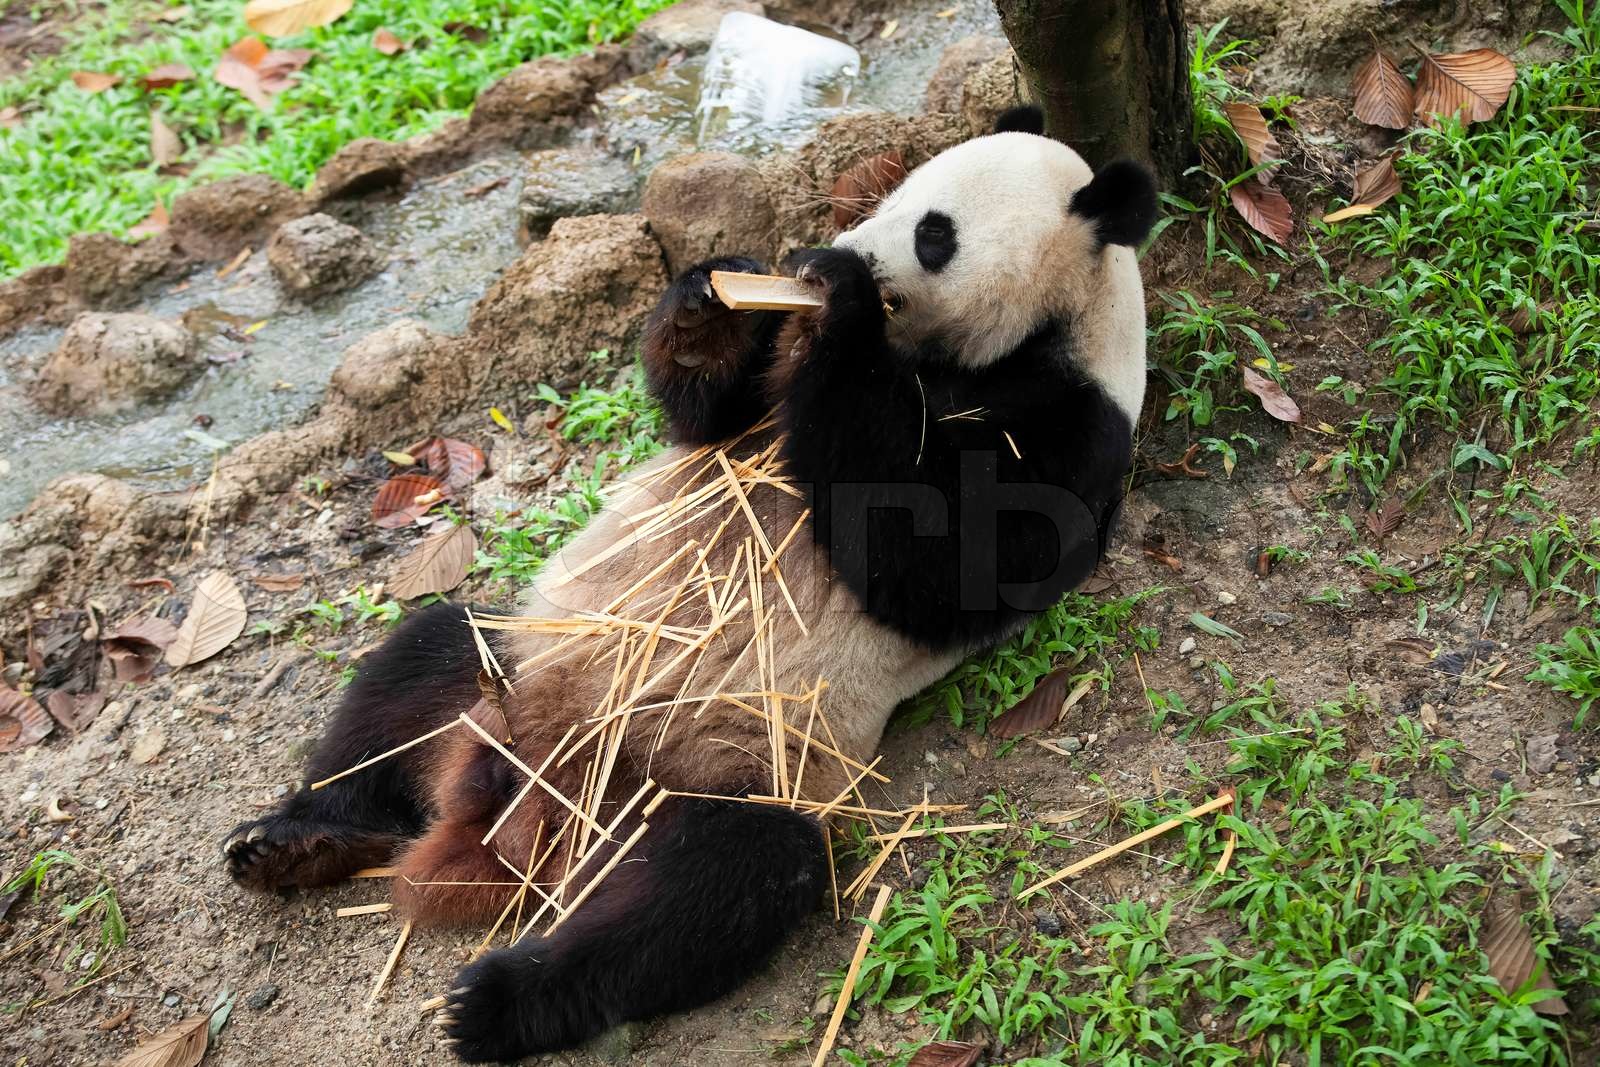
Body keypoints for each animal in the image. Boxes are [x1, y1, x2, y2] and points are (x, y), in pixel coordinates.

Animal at [221, 105, 1155, 1063]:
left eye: (936, 234)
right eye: (891, 194)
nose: (838, 250)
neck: (1043, 331)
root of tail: (511, 808)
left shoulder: (1073, 430)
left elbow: (933, 561)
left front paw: (841, 301)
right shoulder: (770, 402)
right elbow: (708, 416)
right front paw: (714, 290)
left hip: (718, 770)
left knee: (712, 885)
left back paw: (494, 1001)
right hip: (517, 664)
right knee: (414, 665)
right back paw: (294, 839)